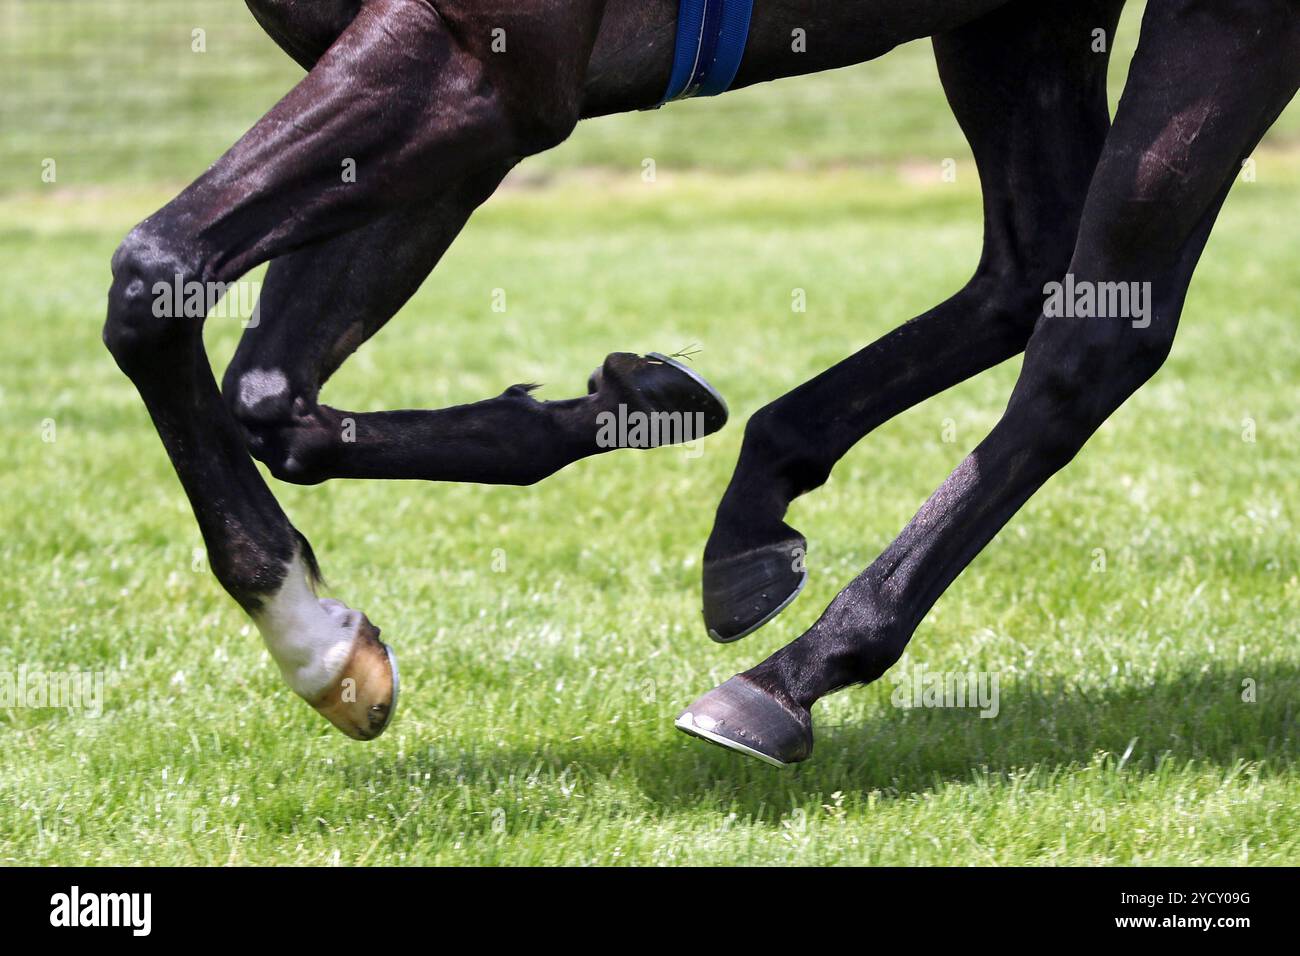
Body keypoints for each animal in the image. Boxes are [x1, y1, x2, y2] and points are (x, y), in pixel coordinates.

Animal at [103, 0, 1299, 760]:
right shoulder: (463, 102)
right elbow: (273, 398)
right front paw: (633, 401)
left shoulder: (472, 67)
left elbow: (155, 274)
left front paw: (309, 641)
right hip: (1018, 18)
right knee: (1027, 268)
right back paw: (756, 504)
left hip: (1222, 19)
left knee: (1096, 339)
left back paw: (795, 674)